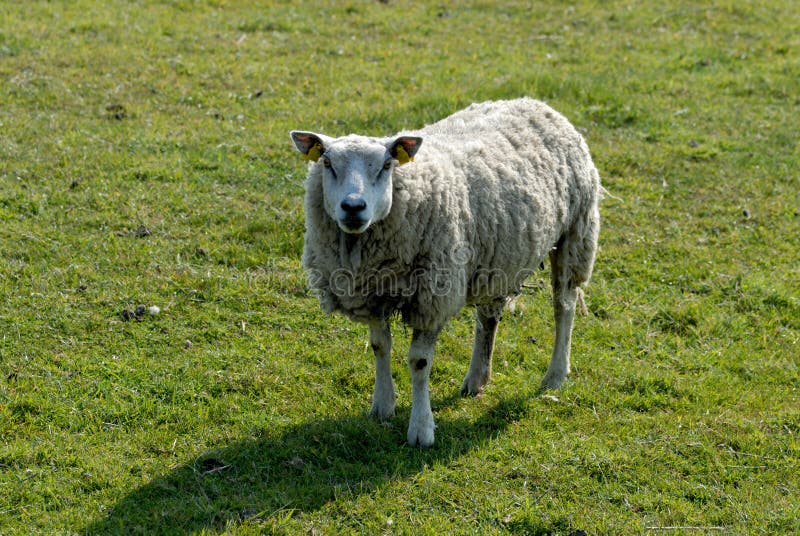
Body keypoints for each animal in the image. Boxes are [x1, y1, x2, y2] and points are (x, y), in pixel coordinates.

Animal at [290, 98, 600, 447]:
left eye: (386, 166)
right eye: (328, 163)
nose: (353, 207)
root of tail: (534, 102)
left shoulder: (432, 295)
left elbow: (419, 361)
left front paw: (421, 428)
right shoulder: (372, 293)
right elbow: (380, 346)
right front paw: (382, 405)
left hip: (575, 234)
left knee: (564, 307)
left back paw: (555, 375)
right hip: (497, 258)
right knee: (488, 319)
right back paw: (477, 378)